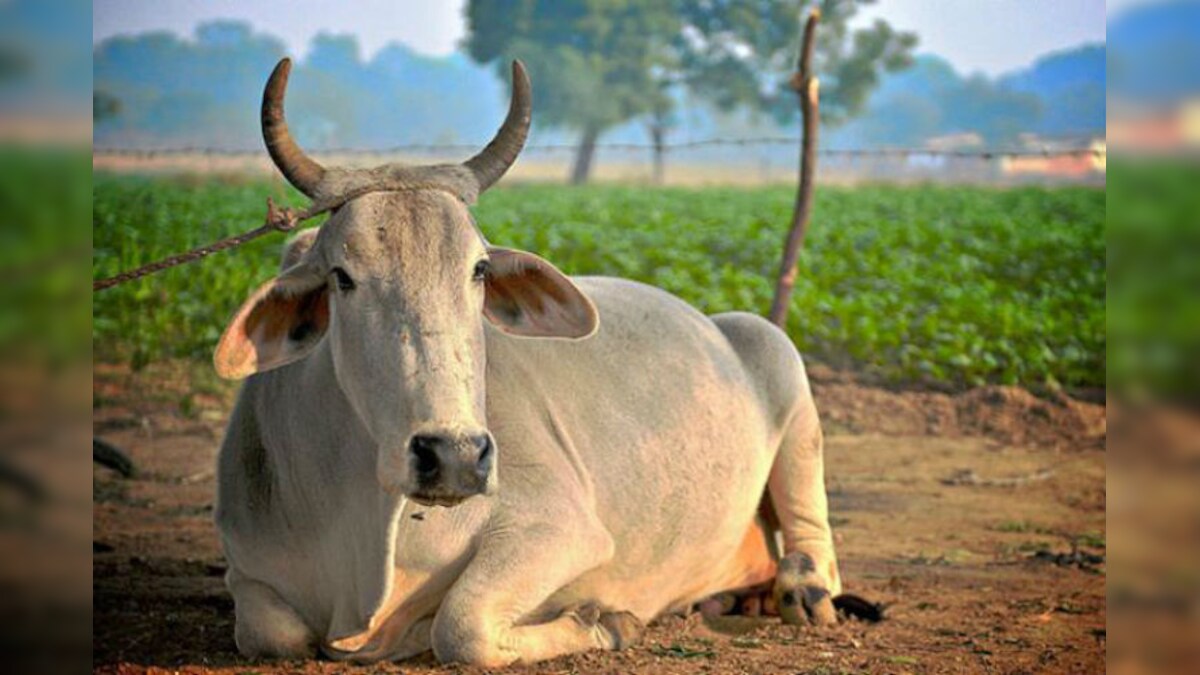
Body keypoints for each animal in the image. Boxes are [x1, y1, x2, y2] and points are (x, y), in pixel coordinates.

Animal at [212, 58, 841, 667]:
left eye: (479, 270)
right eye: (342, 277)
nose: (454, 458)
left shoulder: (560, 528)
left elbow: (462, 626)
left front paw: (605, 623)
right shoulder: (249, 570)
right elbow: (271, 632)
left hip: (778, 357)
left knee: (812, 536)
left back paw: (800, 589)